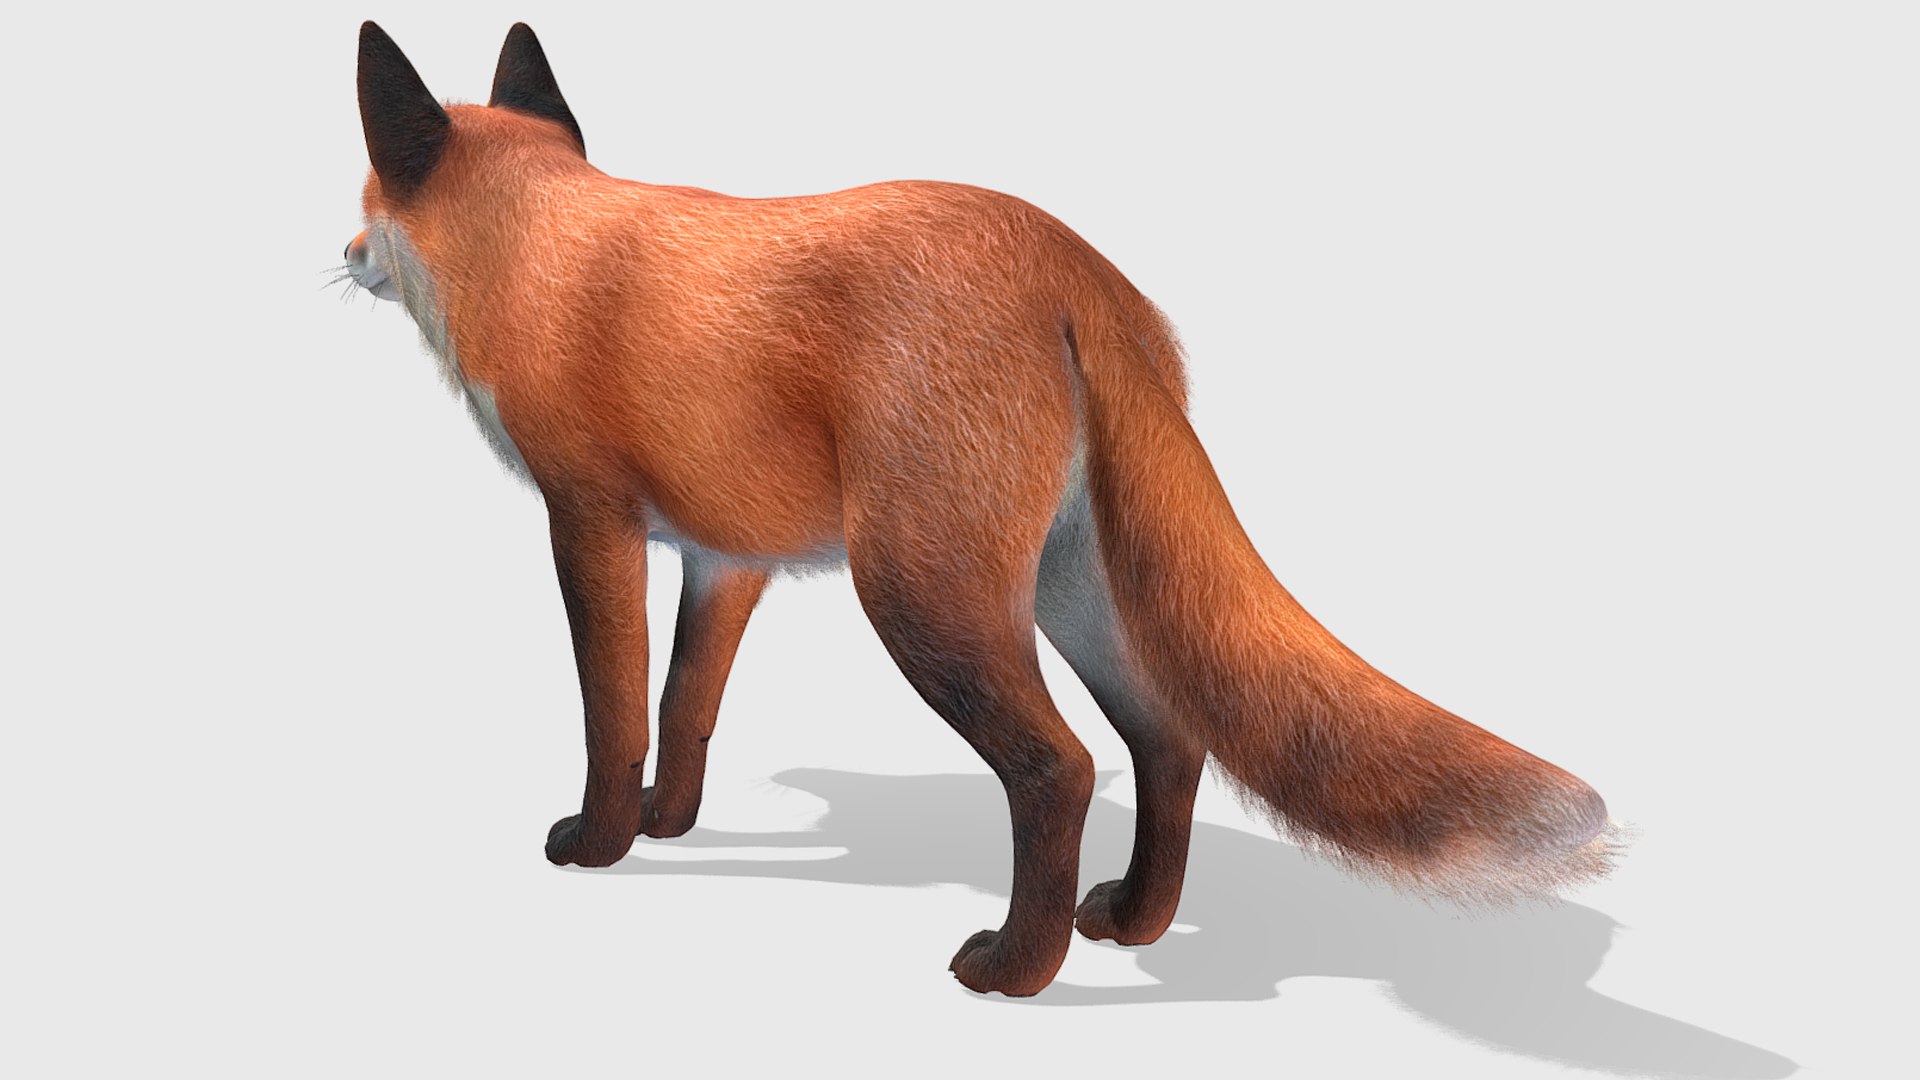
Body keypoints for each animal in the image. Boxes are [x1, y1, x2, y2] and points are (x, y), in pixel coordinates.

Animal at [343, 21, 1620, 996]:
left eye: (366, 195)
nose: (345, 250)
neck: (540, 255)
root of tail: (1069, 263)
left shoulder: (592, 522)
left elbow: (611, 712)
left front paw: (602, 845)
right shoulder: (725, 554)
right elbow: (686, 706)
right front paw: (672, 824)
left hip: (922, 597)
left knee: (1061, 767)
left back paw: (1019, 969)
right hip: (1072, 593)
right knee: (1168, 735)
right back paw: (1135, 922)